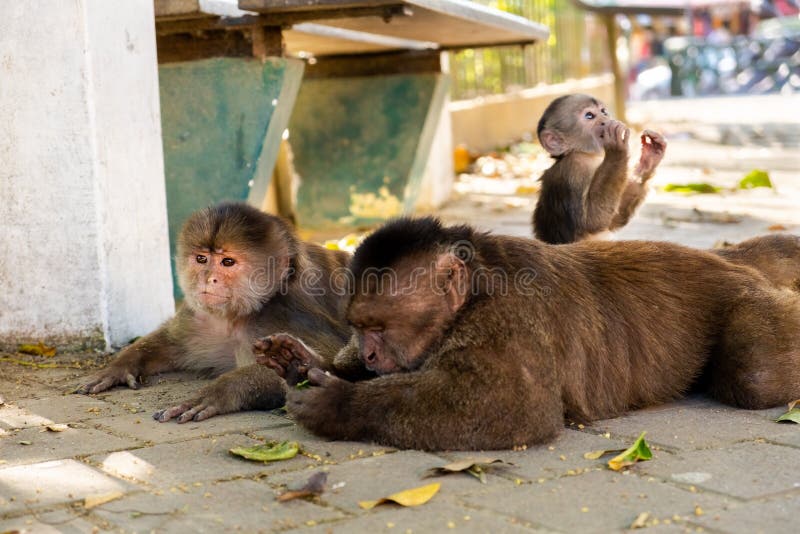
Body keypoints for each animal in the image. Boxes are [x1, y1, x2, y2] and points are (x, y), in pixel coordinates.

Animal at [76, 202, 354, 423]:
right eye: (202, 259)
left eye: (227, 262)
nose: (209, 279)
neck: (241, 314)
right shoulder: (197, 315)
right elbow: (170, 343)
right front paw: (119, 366)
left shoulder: (283, 314)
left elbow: (323, 365)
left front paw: (219, 393)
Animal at [254, 217, 800, 451]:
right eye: (358, 328)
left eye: (377, 328)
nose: (368, 353)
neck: (476, 286)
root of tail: (725, 256)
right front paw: (298, 363)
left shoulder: (509, 312)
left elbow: (515, 405)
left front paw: (338, 406)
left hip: (747, 295)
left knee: (755, 373)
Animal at [532, 94, 667, 244]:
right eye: (589, 116)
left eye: (603, 111)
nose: (605, 119)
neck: (582, 153)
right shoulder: (576, 165)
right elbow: (592, 220)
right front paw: (616, 148)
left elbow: (613, 220)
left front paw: (649, 158)